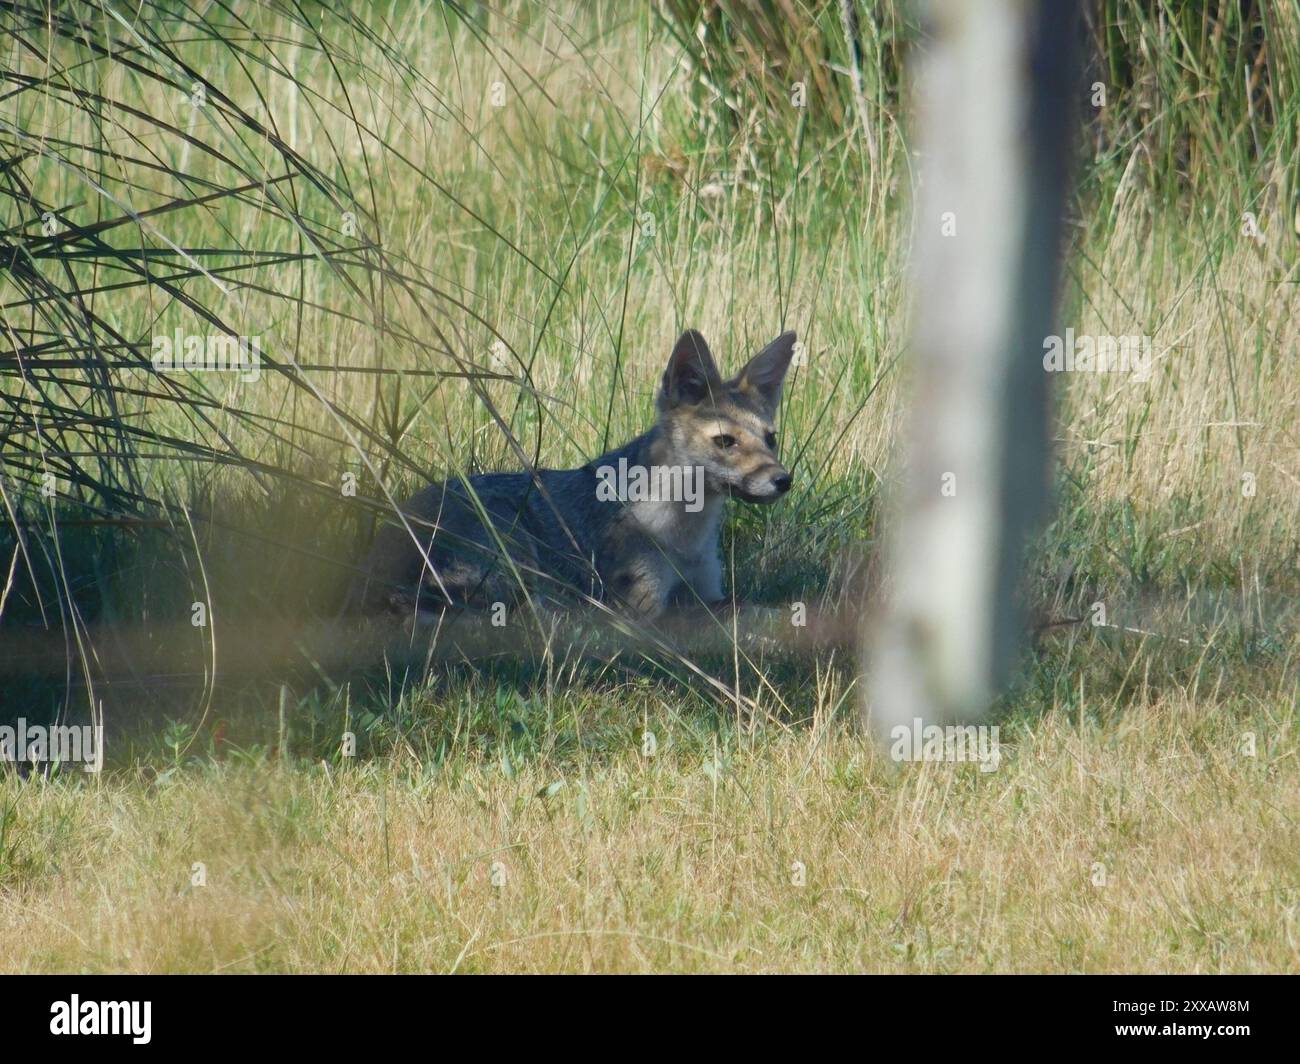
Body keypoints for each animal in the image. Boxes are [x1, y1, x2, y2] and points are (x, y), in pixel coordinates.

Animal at [349, 329, 797, 622]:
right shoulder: (646, 605)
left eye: (770, 439)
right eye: (726, 442)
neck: (684, 535)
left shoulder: (707, 587)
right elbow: (746, 610)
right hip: (515, 553)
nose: (784, 480)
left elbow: (740, 603)